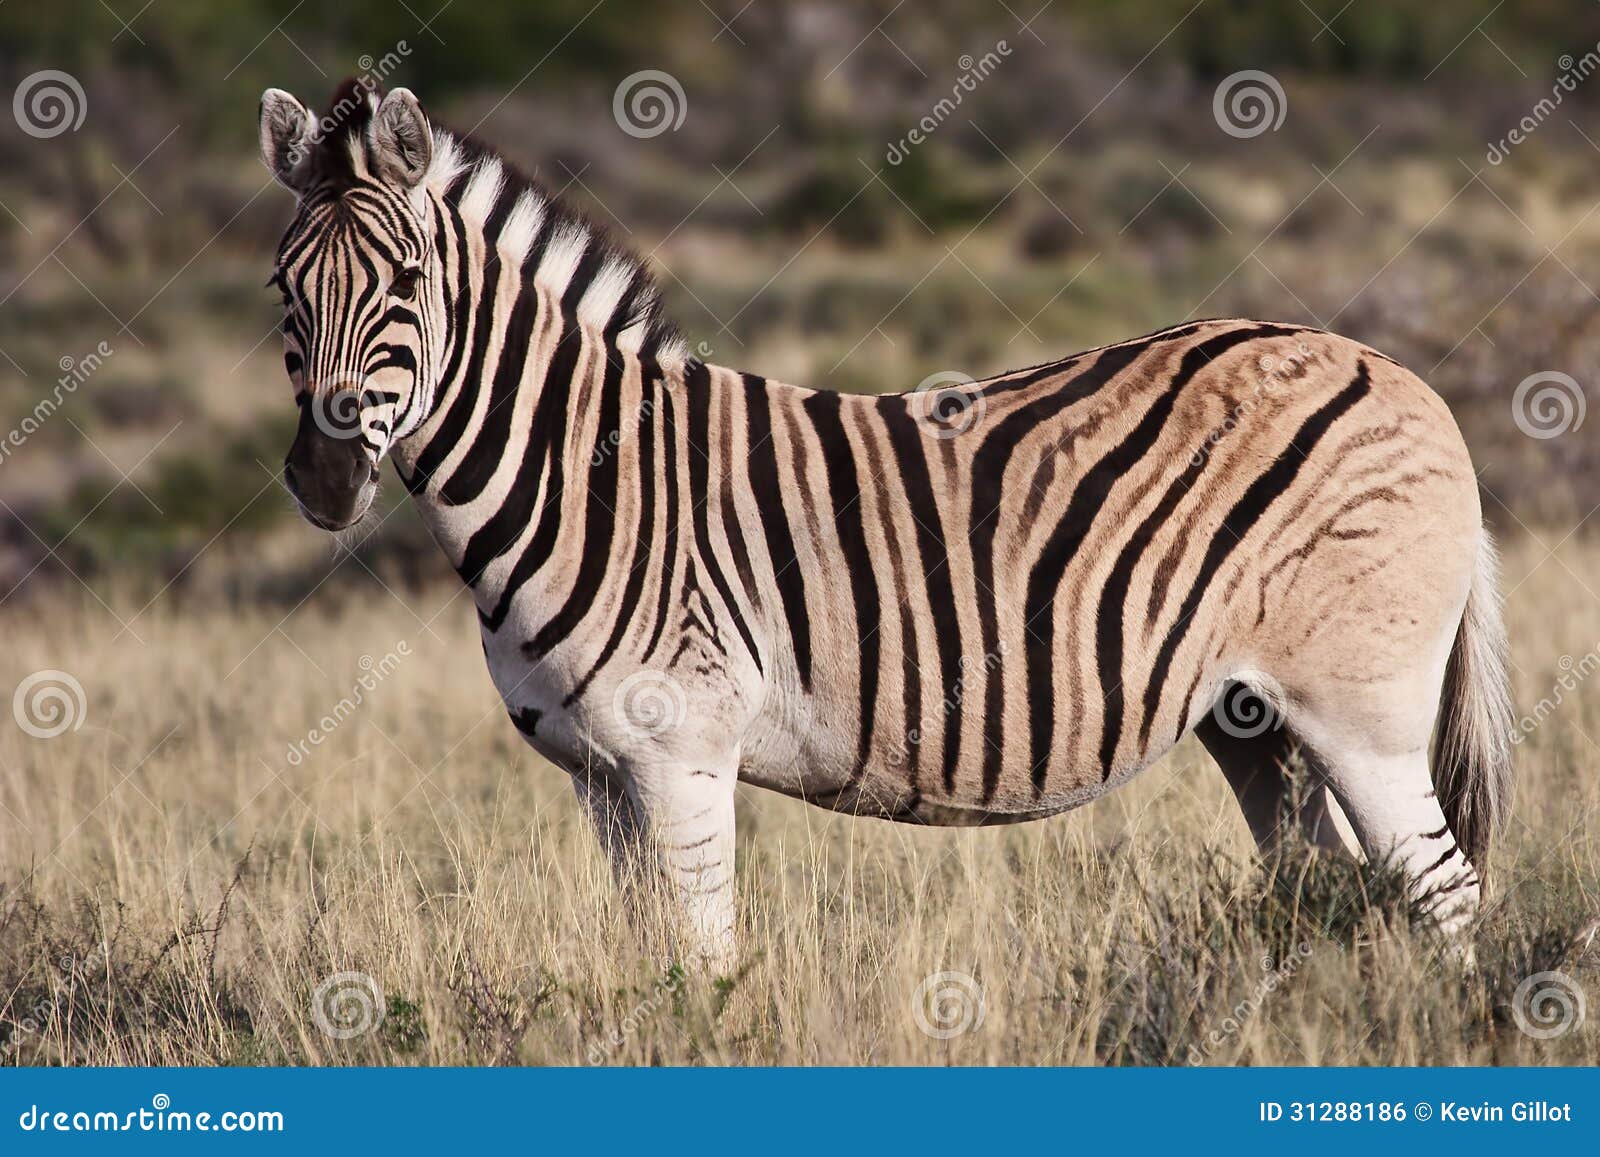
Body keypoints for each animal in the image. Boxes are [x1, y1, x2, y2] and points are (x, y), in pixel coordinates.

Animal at [258, 80, 1514, 968]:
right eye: (282, 290)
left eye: (406, 283)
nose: (323, 477)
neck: (584, 476)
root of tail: (1400, 373)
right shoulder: (599, 774)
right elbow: (643, 957)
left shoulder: (681, 753)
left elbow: (700, 964)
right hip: (1256, 721)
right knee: (1336, 889)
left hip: (1362, 707)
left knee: (1443, 889)